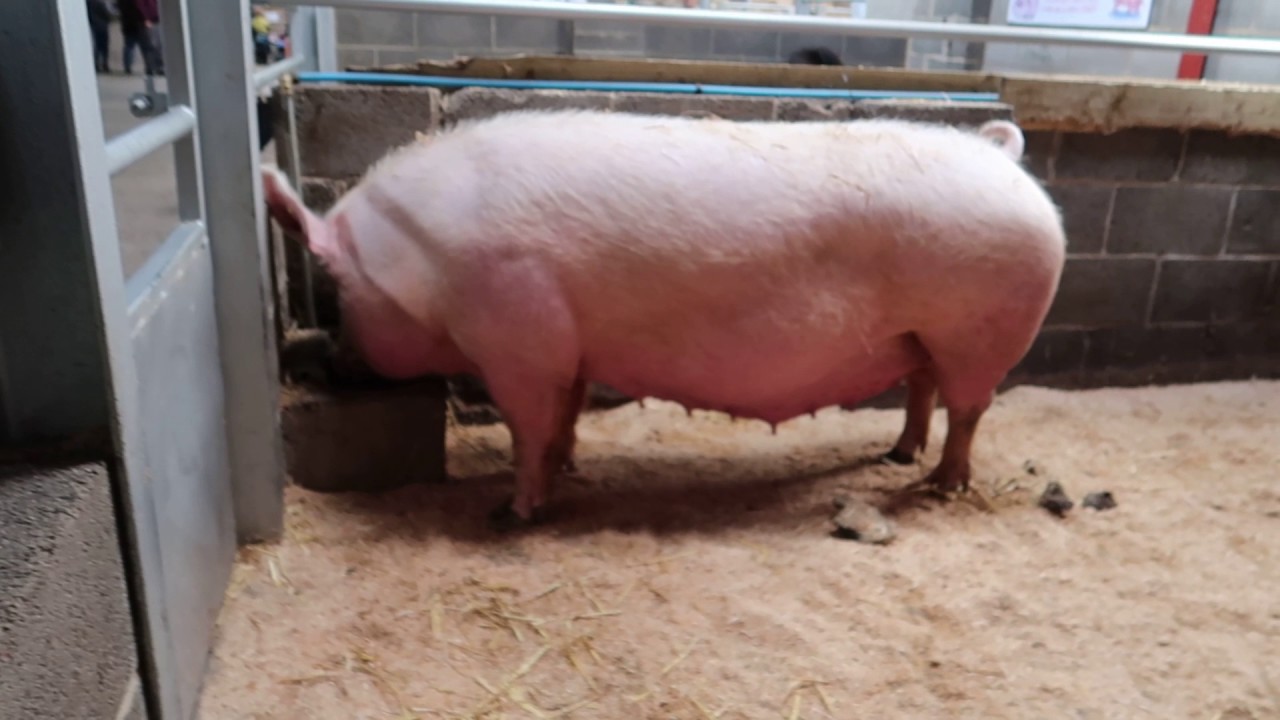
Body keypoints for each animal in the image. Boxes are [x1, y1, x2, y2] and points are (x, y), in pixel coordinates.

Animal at [261, 109, 1065, 529]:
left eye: (336, 290)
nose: (326, 358)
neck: (421, 266)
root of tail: (1006, 163)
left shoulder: (519, 343)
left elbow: (528, 425)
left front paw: (513, 513)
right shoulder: (571, 348)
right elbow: (566, 413)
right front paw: (570, 467)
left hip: (977, 333)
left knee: (969, 409)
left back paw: (941, 485)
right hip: (924, 336)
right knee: (925, 391)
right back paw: (899, 455)